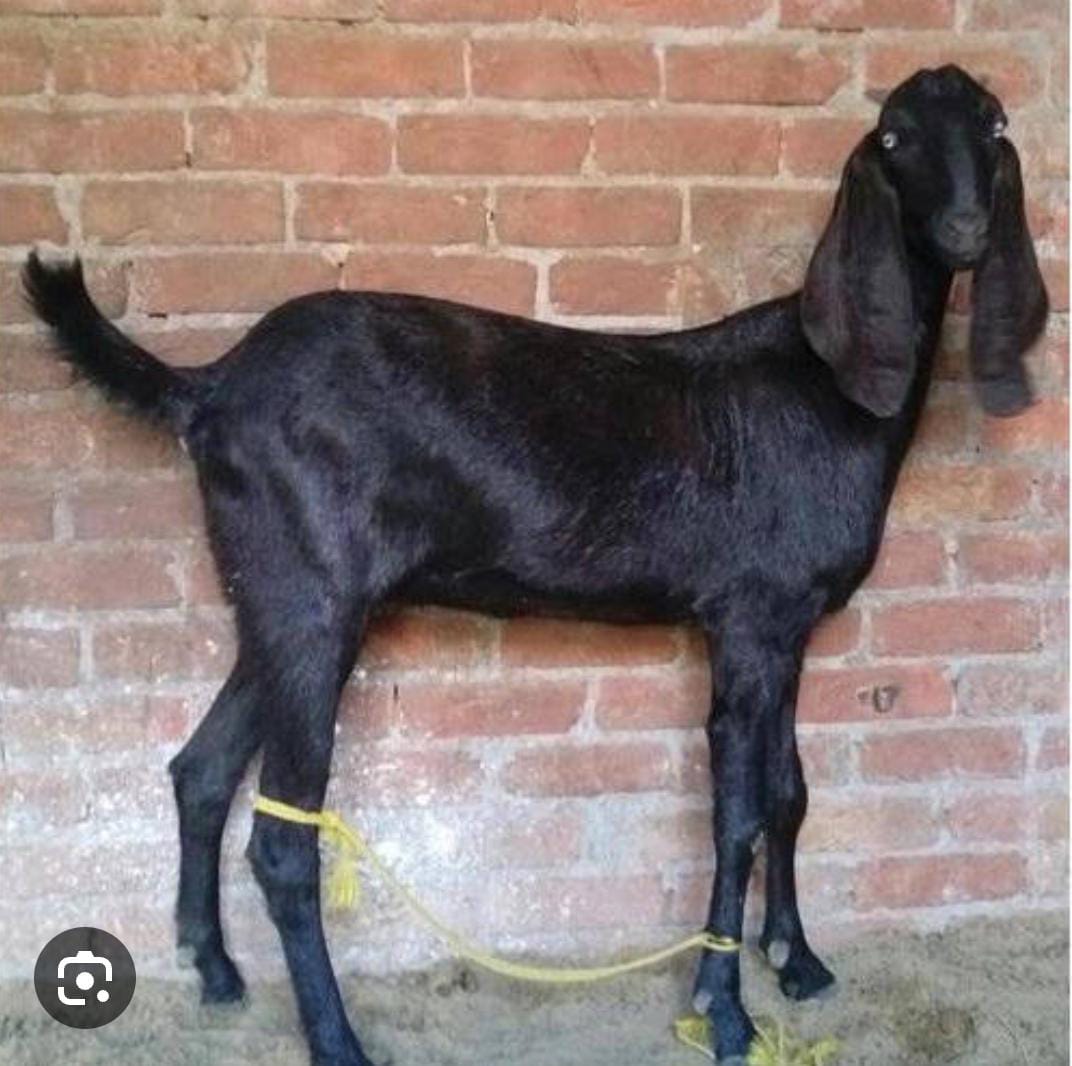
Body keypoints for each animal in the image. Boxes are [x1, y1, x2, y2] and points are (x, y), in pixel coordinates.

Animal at [24, 65, 1047, 1065]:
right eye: (894, 137)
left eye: (995, 126)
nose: (965, 230)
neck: (828, 388)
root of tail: (211, 387)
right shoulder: (748, 617)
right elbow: (740, 813)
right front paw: (723, 1012)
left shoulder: (789, 625)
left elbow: (790, 794)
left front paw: (798, 963)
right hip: (311, 596)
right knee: (282, 842)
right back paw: (337, 1040)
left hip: (276, 597)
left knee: (200, 768)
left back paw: (216, 973)